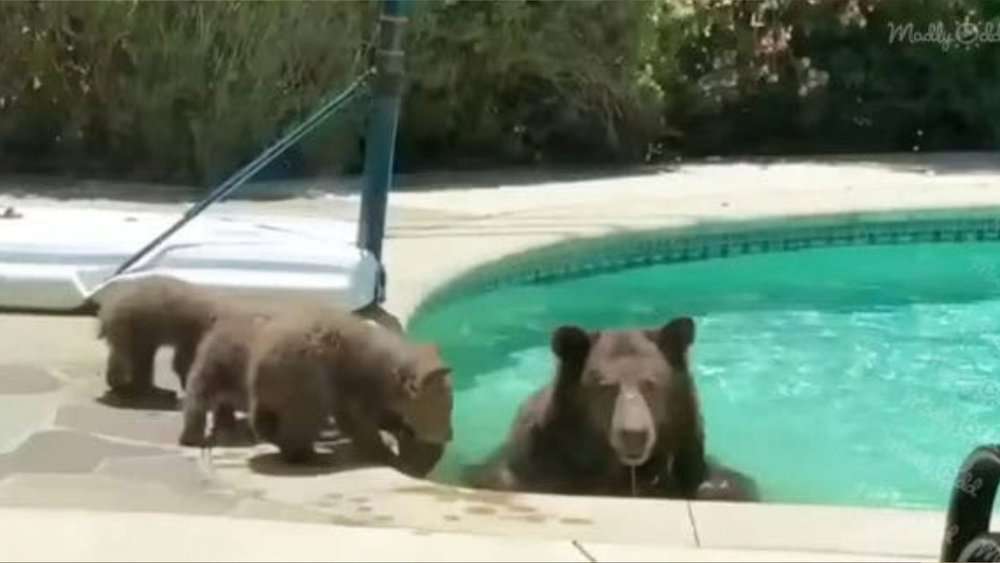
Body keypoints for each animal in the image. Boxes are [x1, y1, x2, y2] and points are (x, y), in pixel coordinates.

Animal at [245, 307, 454, 474]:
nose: (449, 435)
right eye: (446, 408)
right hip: (302, 377)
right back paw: (311, 455)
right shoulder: (357, 384)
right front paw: (391, 456)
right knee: (304, 417)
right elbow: (360, 422)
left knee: (268, 420)